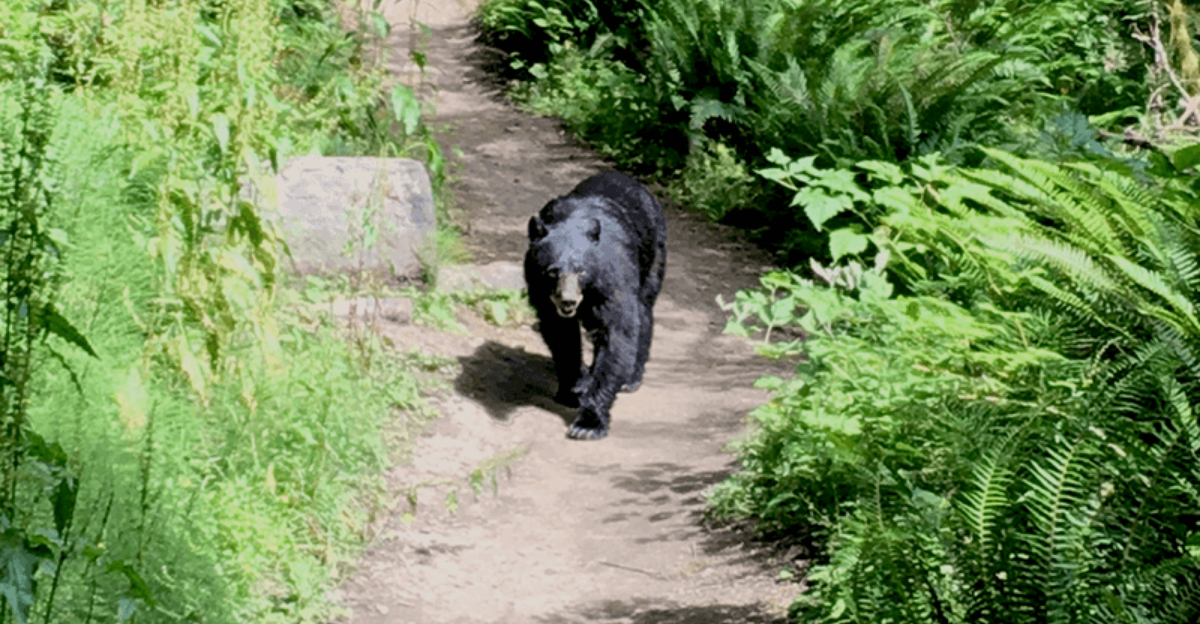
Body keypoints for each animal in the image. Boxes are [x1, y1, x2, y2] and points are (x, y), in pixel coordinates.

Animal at [524, 171, 667, 440]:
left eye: (581, 270)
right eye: (552, 271)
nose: (567, 301)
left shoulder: (613, 277)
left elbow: (617, 334)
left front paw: (588, 424)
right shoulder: (540, 290)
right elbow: (560, 335)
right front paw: (571, 390)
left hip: (653, 254)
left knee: (643, 312)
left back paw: (632, 377)